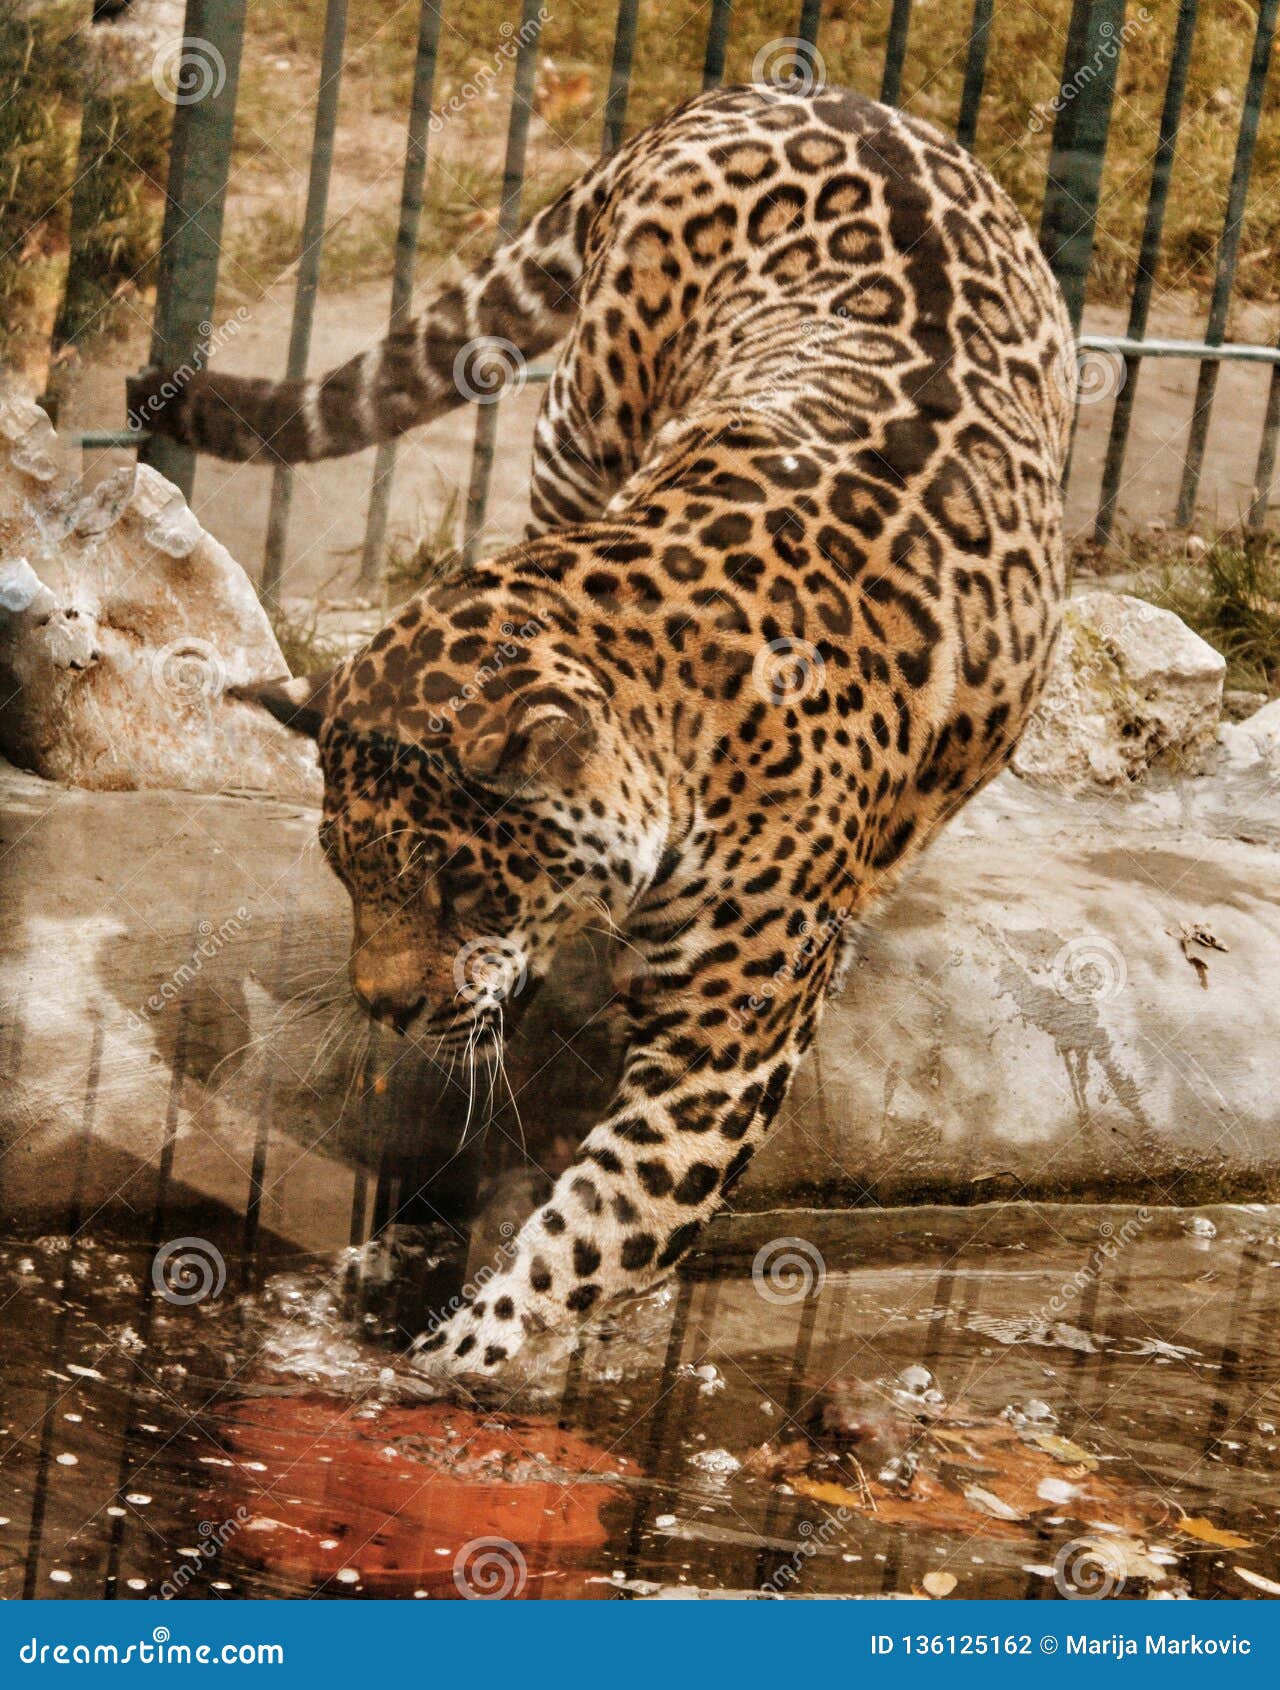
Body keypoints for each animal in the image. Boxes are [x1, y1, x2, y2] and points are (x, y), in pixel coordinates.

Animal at [134, 81, 1075, 1380]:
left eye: (463, 889)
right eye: (346, 875)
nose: (382, 1009)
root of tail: (787, 86)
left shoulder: (722, 1056)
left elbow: (592, 1231)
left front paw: (448, 1369)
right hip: (584, 414)